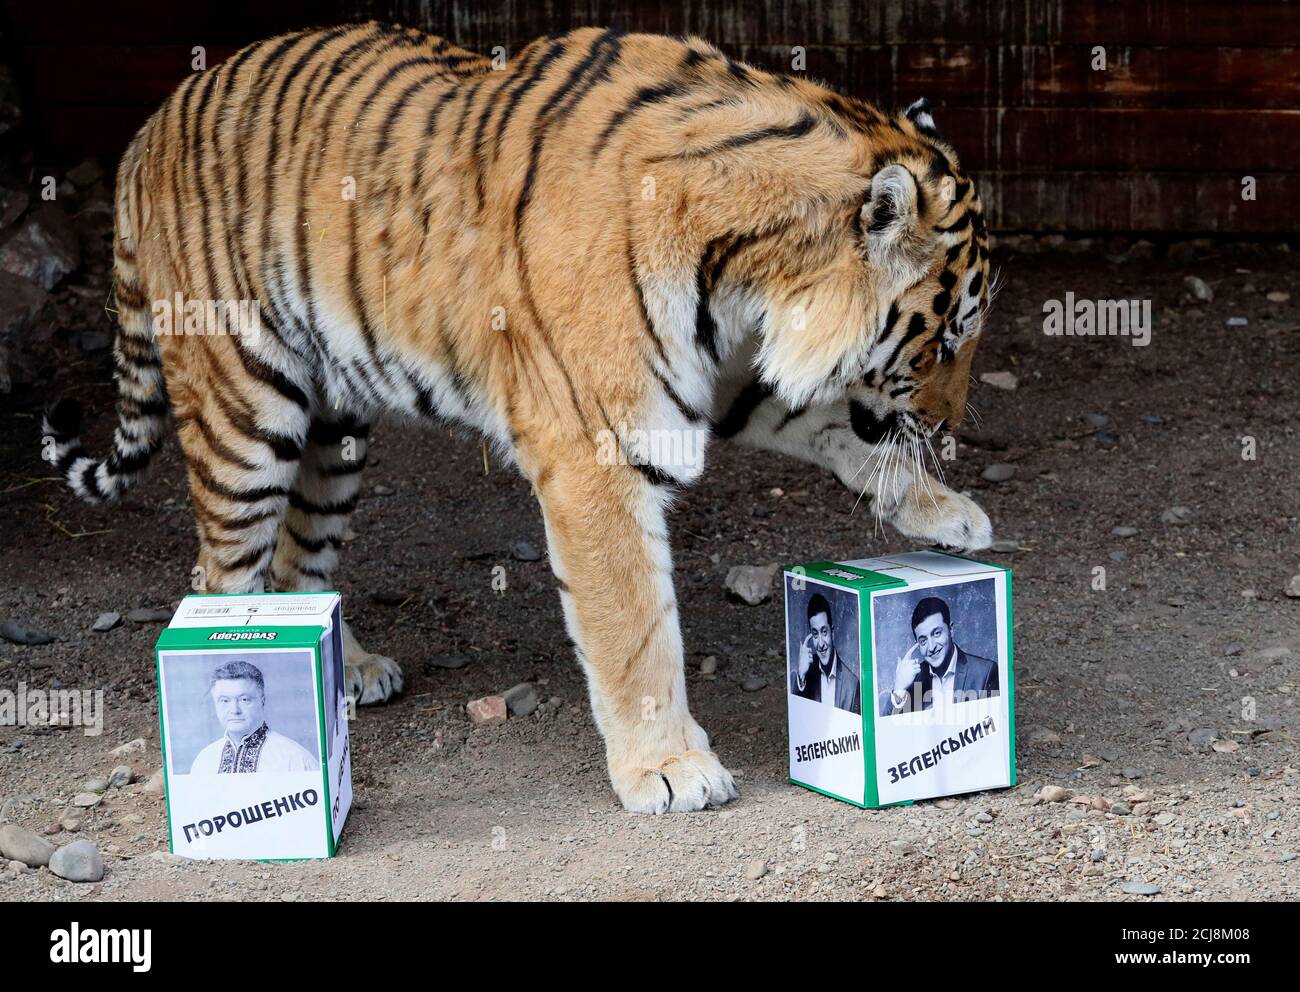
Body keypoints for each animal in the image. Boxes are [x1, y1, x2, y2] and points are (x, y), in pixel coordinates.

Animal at [42, 22, 994, 814]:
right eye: (946, 339)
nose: (954, 424)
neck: (749, 275)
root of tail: (148, 126)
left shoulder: (724, 379)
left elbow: (835, 424)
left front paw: (947, 514)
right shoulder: (598, 449)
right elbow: (634, 629)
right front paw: (670, 769)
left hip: (333, 431)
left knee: (296, 564)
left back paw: (348, 675)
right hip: (246, 414)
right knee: (222, 573)